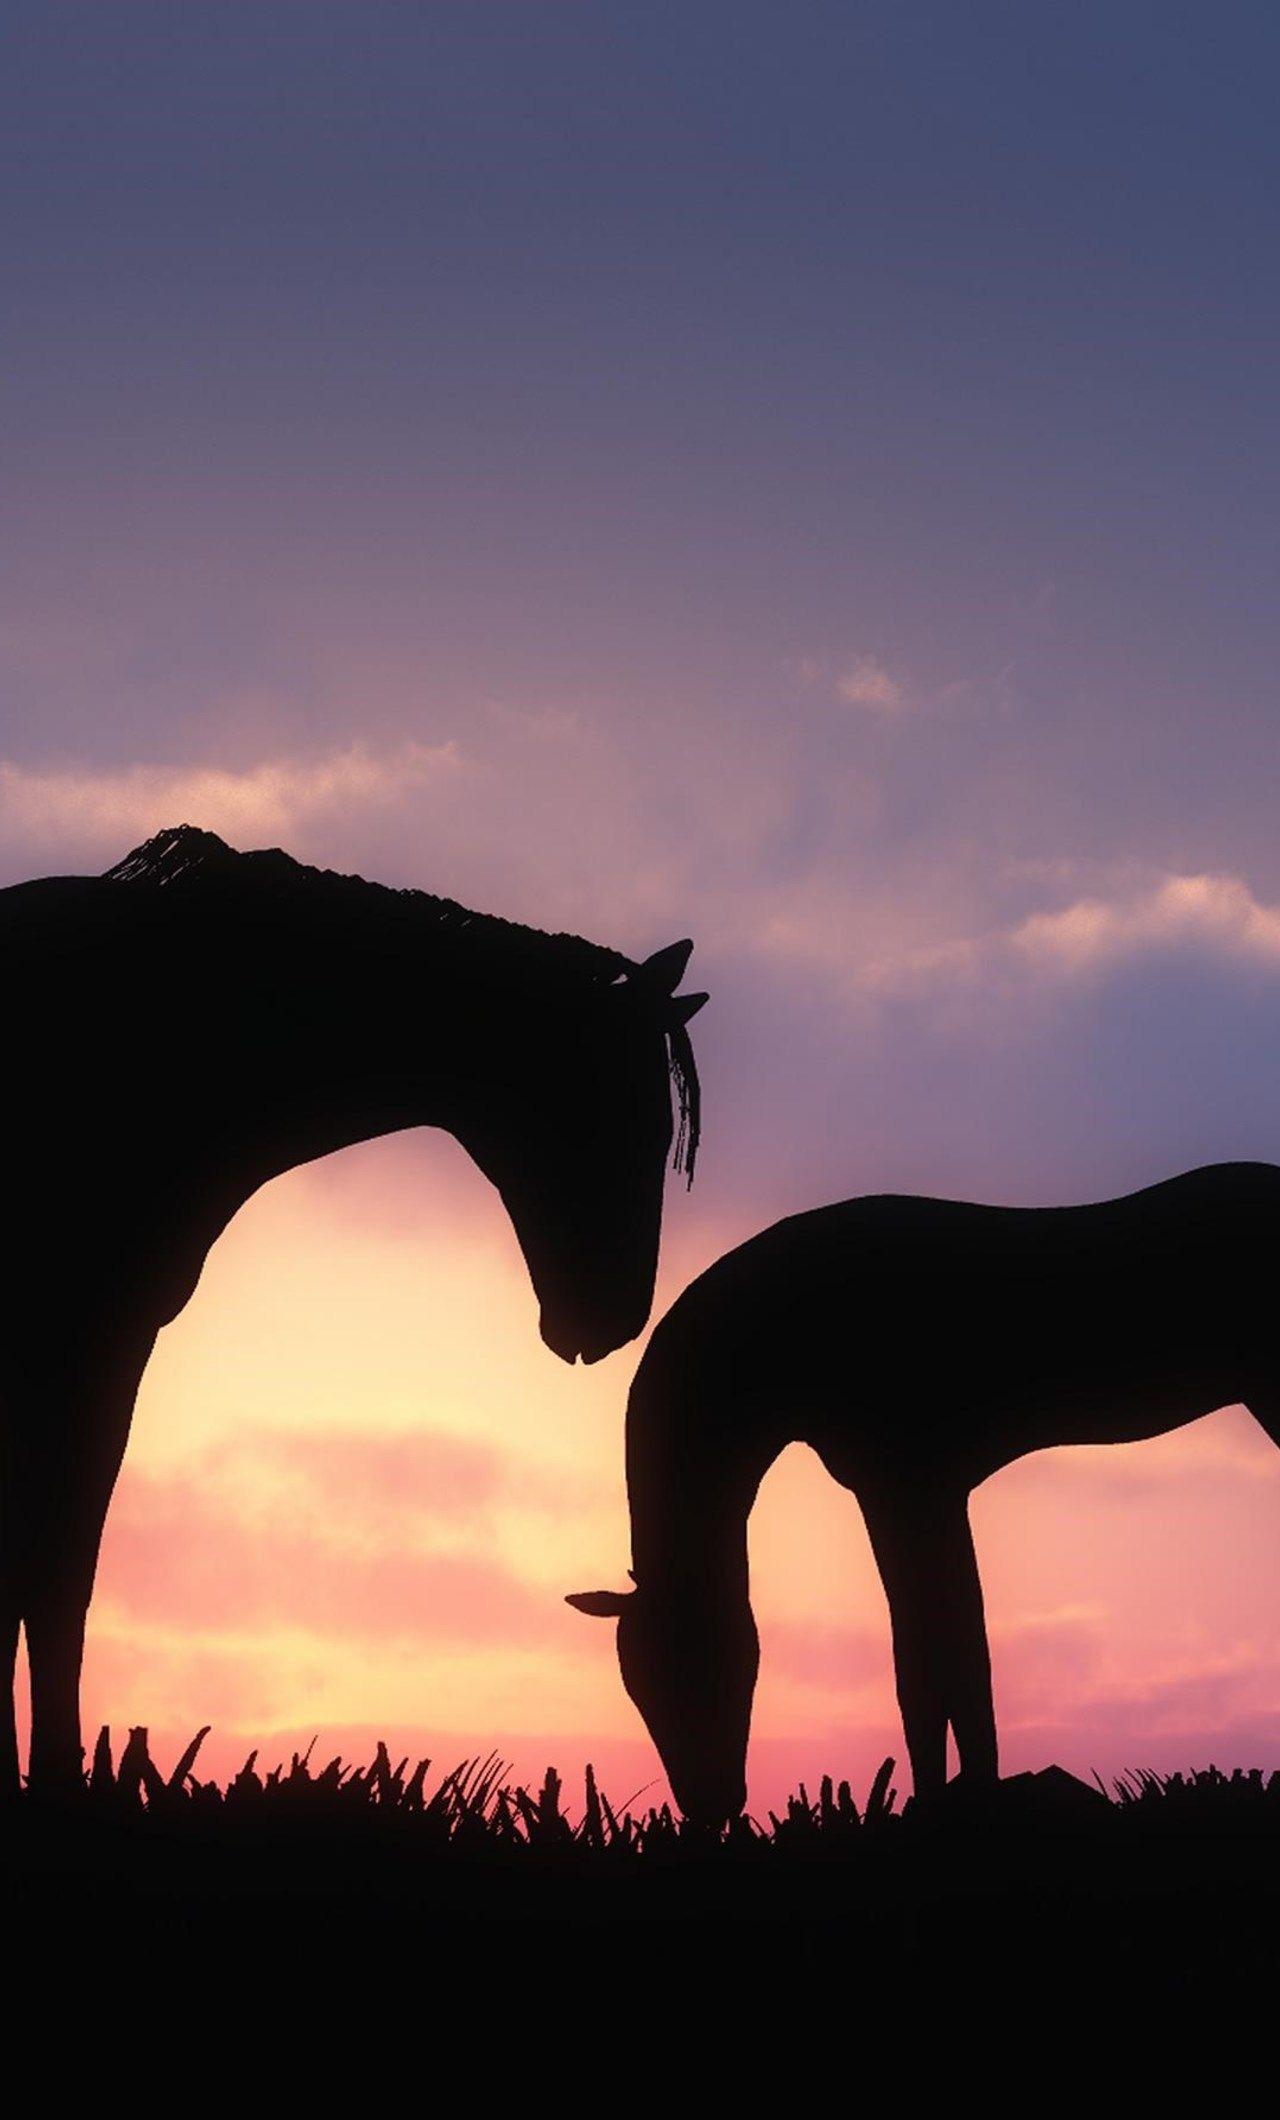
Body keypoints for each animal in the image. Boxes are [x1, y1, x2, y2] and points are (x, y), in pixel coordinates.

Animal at [570, 1162, 1280, 1824]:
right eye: (637, 1687)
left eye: (700, 1663)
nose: (709, 1807)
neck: (783, 1340)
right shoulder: (914, 1490)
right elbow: (941, 1645)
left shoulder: (910, 1484)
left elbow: (936, 1649)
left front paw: (956, 1796)